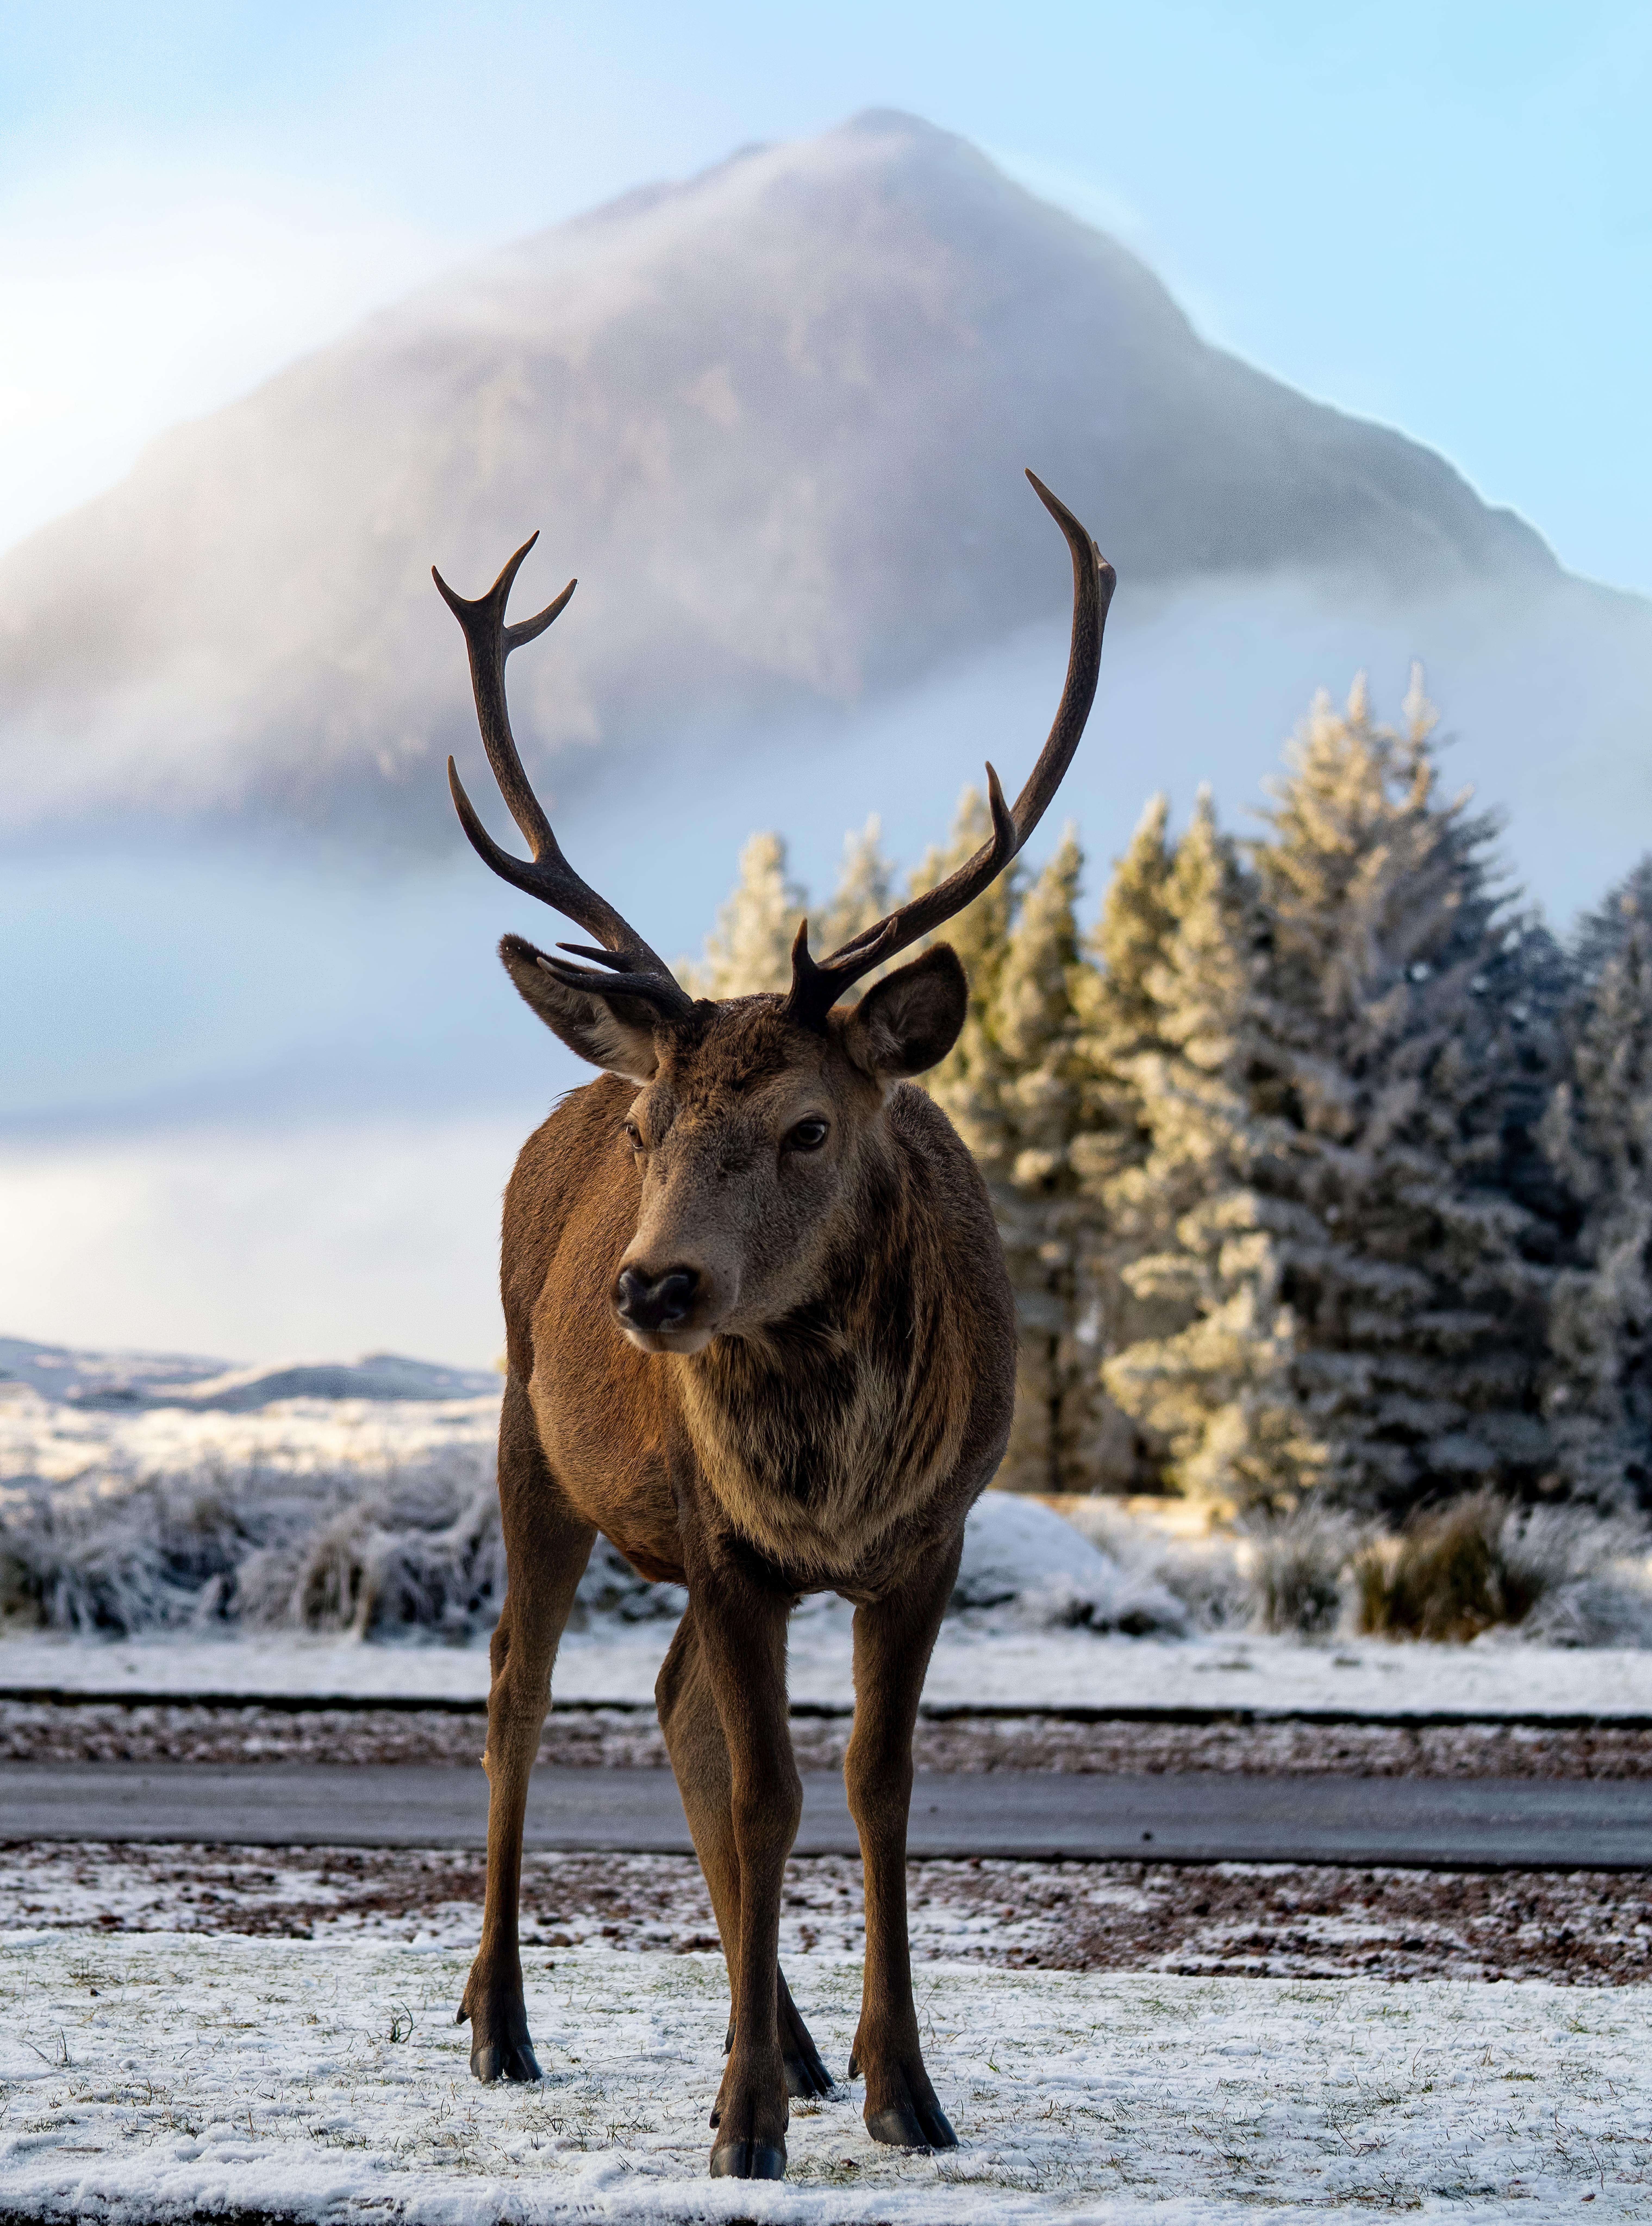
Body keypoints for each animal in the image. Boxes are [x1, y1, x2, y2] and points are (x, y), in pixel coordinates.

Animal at [433, 471, 1113, 2181]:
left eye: (810, 1126)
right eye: (654, 1127)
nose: (651, 1288)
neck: (832, 1477)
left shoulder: (932, 1538)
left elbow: (874, 1785)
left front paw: (899, 2085)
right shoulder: (728, 1538)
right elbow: (769, 1792)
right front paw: (742, 2119)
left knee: (672, 1704)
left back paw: (797, 2042)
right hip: (531, 1434)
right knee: (518, 1689)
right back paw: (505, 2023)